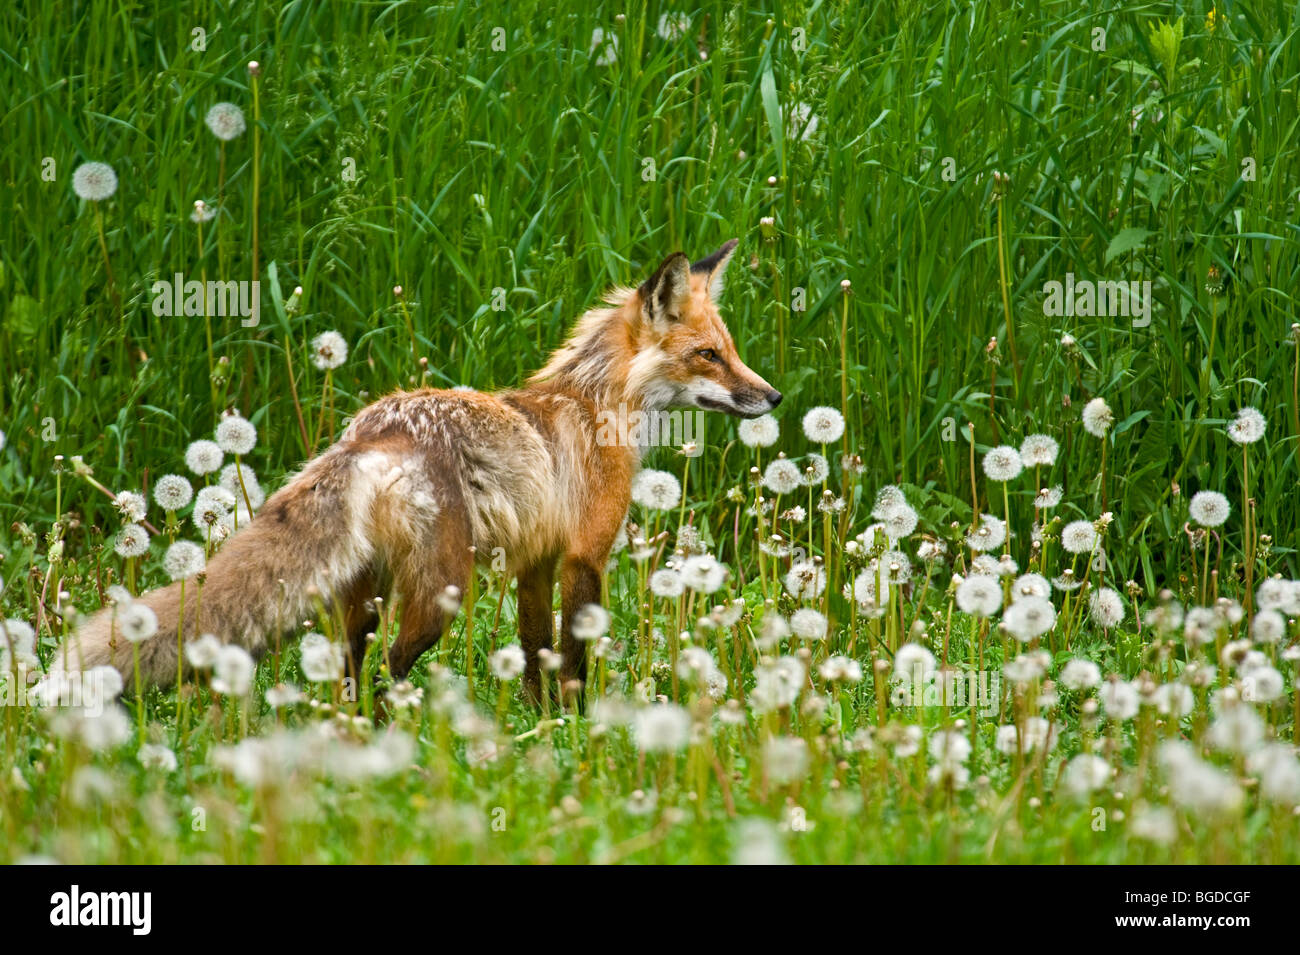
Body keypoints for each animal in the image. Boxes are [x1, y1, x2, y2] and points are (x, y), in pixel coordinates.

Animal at [48, 240, 781, 704]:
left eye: (730, 350)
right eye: (708, 355)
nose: (772, 397)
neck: (594, 402)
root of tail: (373, 428)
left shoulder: (534, 561)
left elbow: (534, 656)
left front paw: (541, 731)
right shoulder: (584, 555)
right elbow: (571, 662)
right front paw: (579, 733)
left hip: (363, 595)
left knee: (349, 673)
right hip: (439, 593)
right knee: (389, 671)